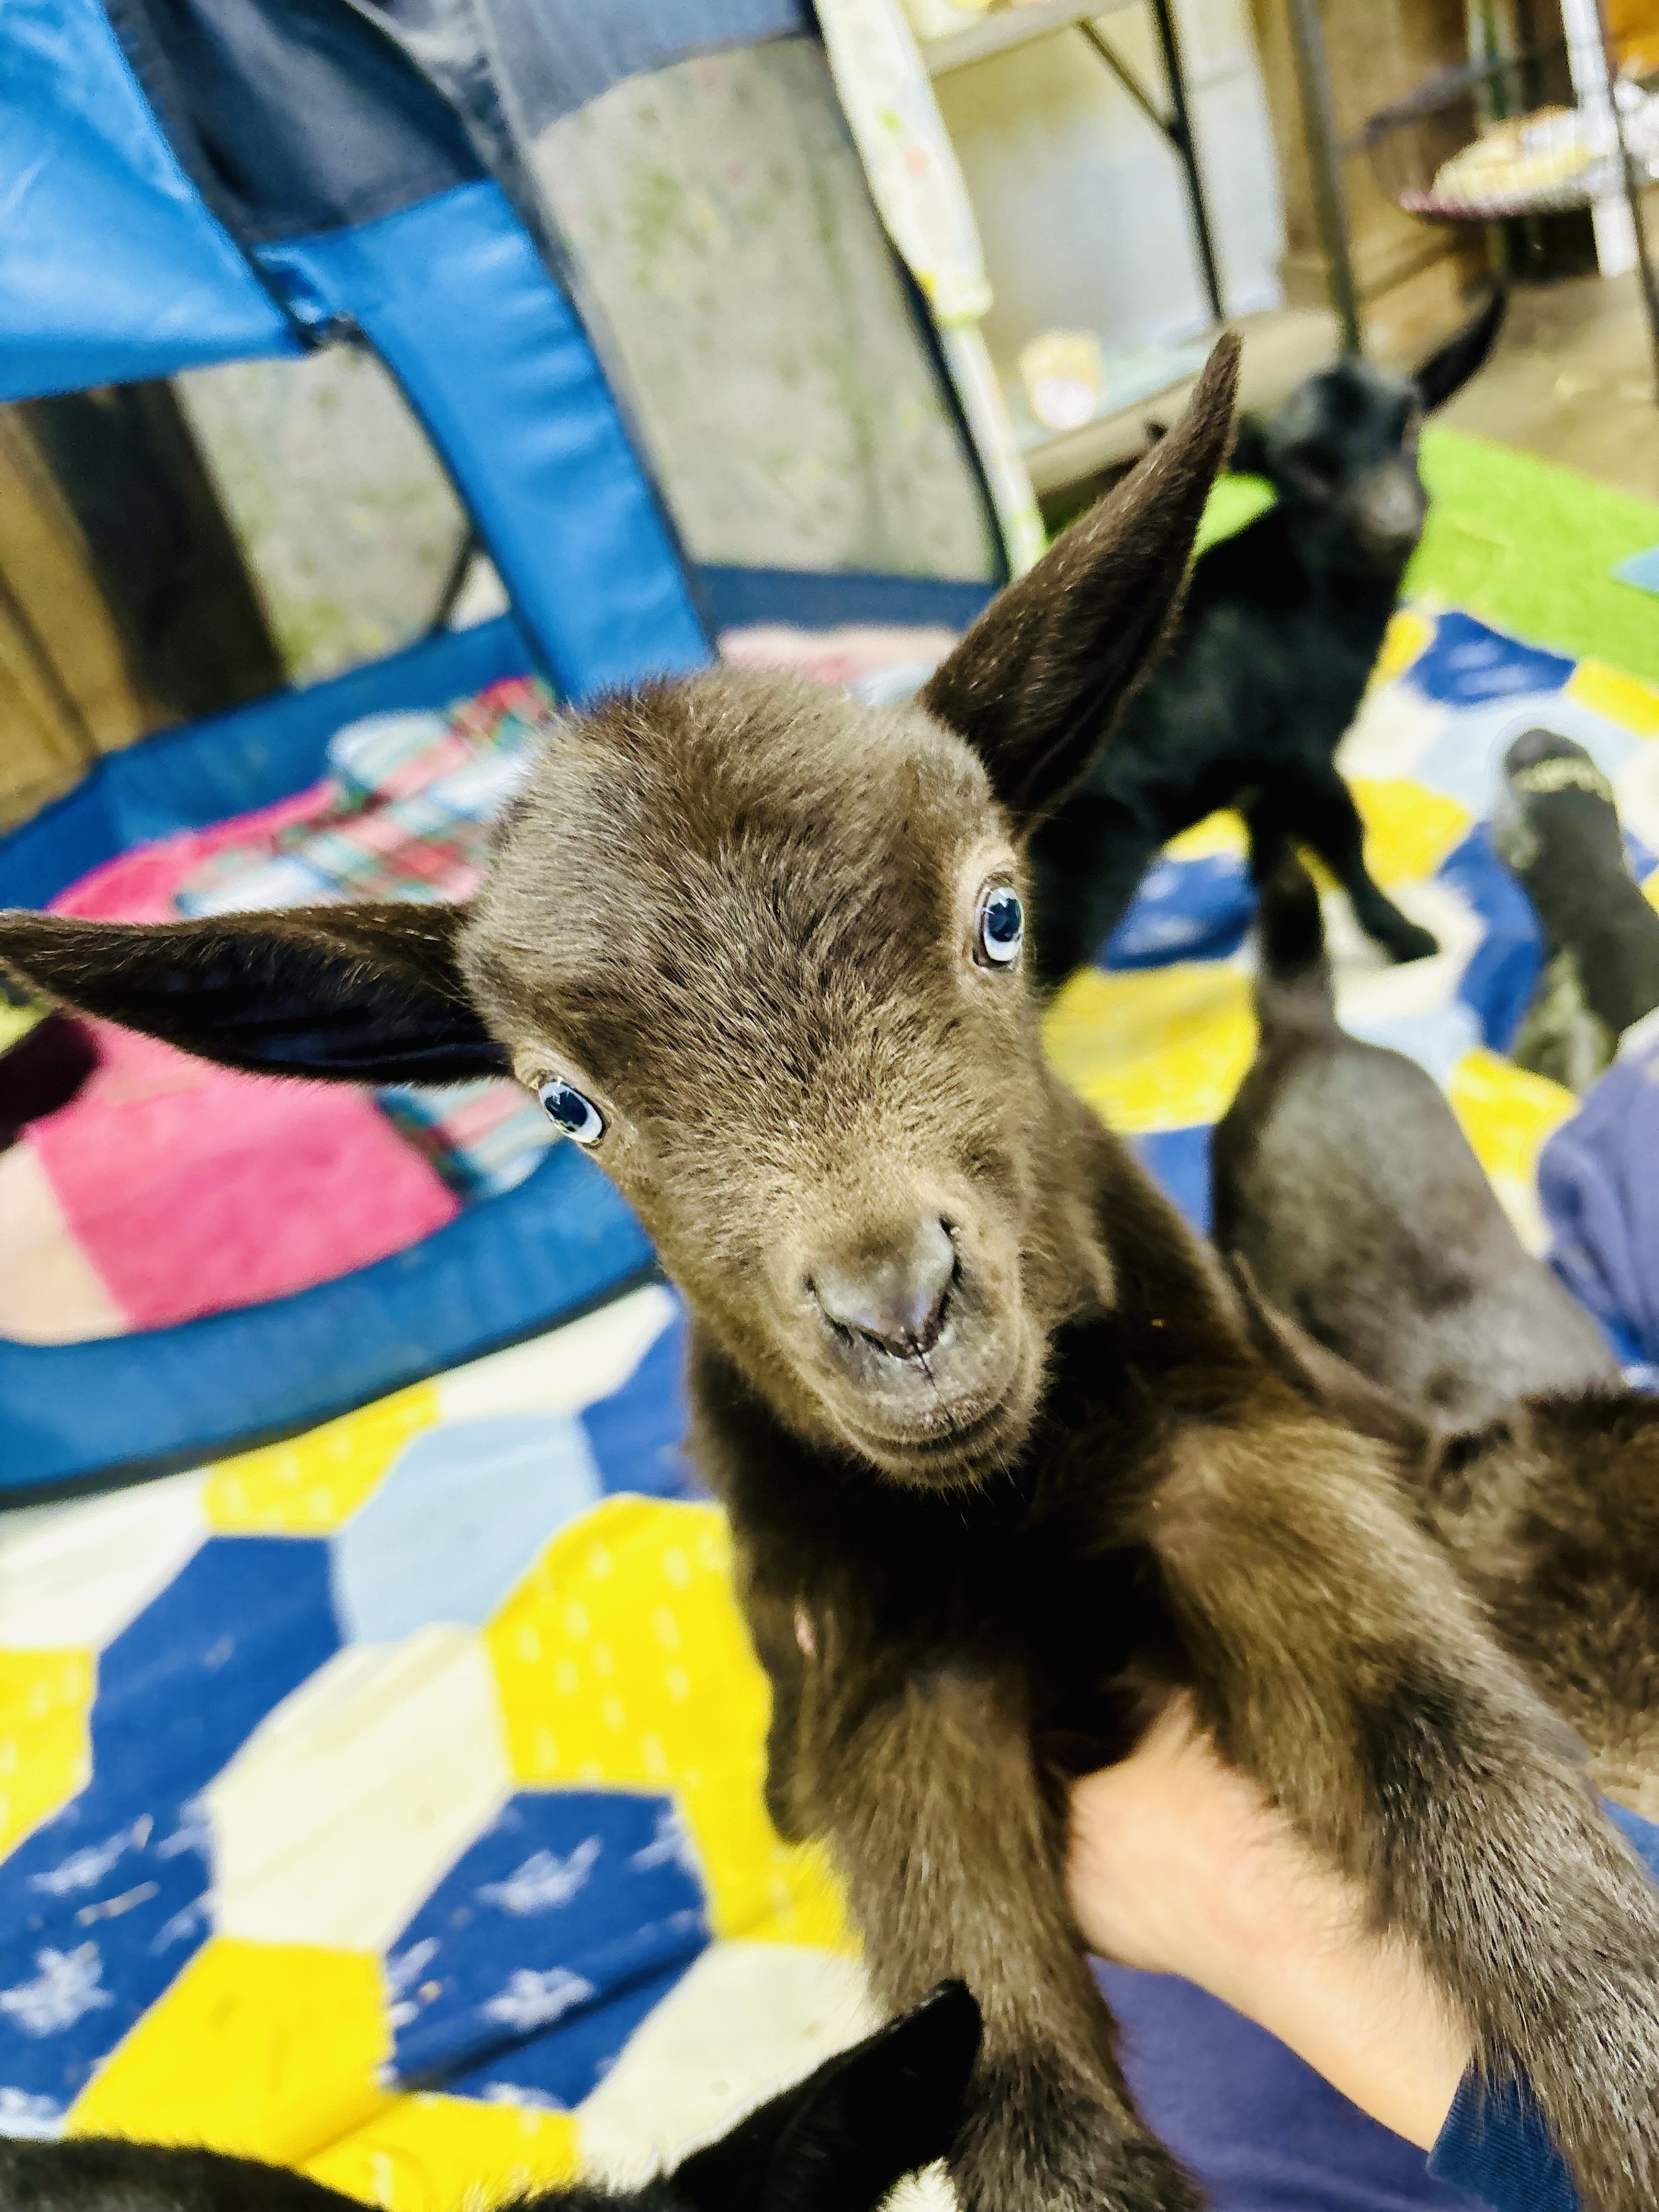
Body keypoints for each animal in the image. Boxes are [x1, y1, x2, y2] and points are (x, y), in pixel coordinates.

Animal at [1028, 287, 1506, 988]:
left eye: (1412, 424)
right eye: (1304, 469)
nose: (1392, 521)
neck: (1310, 596)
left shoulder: (1260, 775)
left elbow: (1272, 846)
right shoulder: (1300, 755)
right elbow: (1344, 838)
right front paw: (1406, 940)